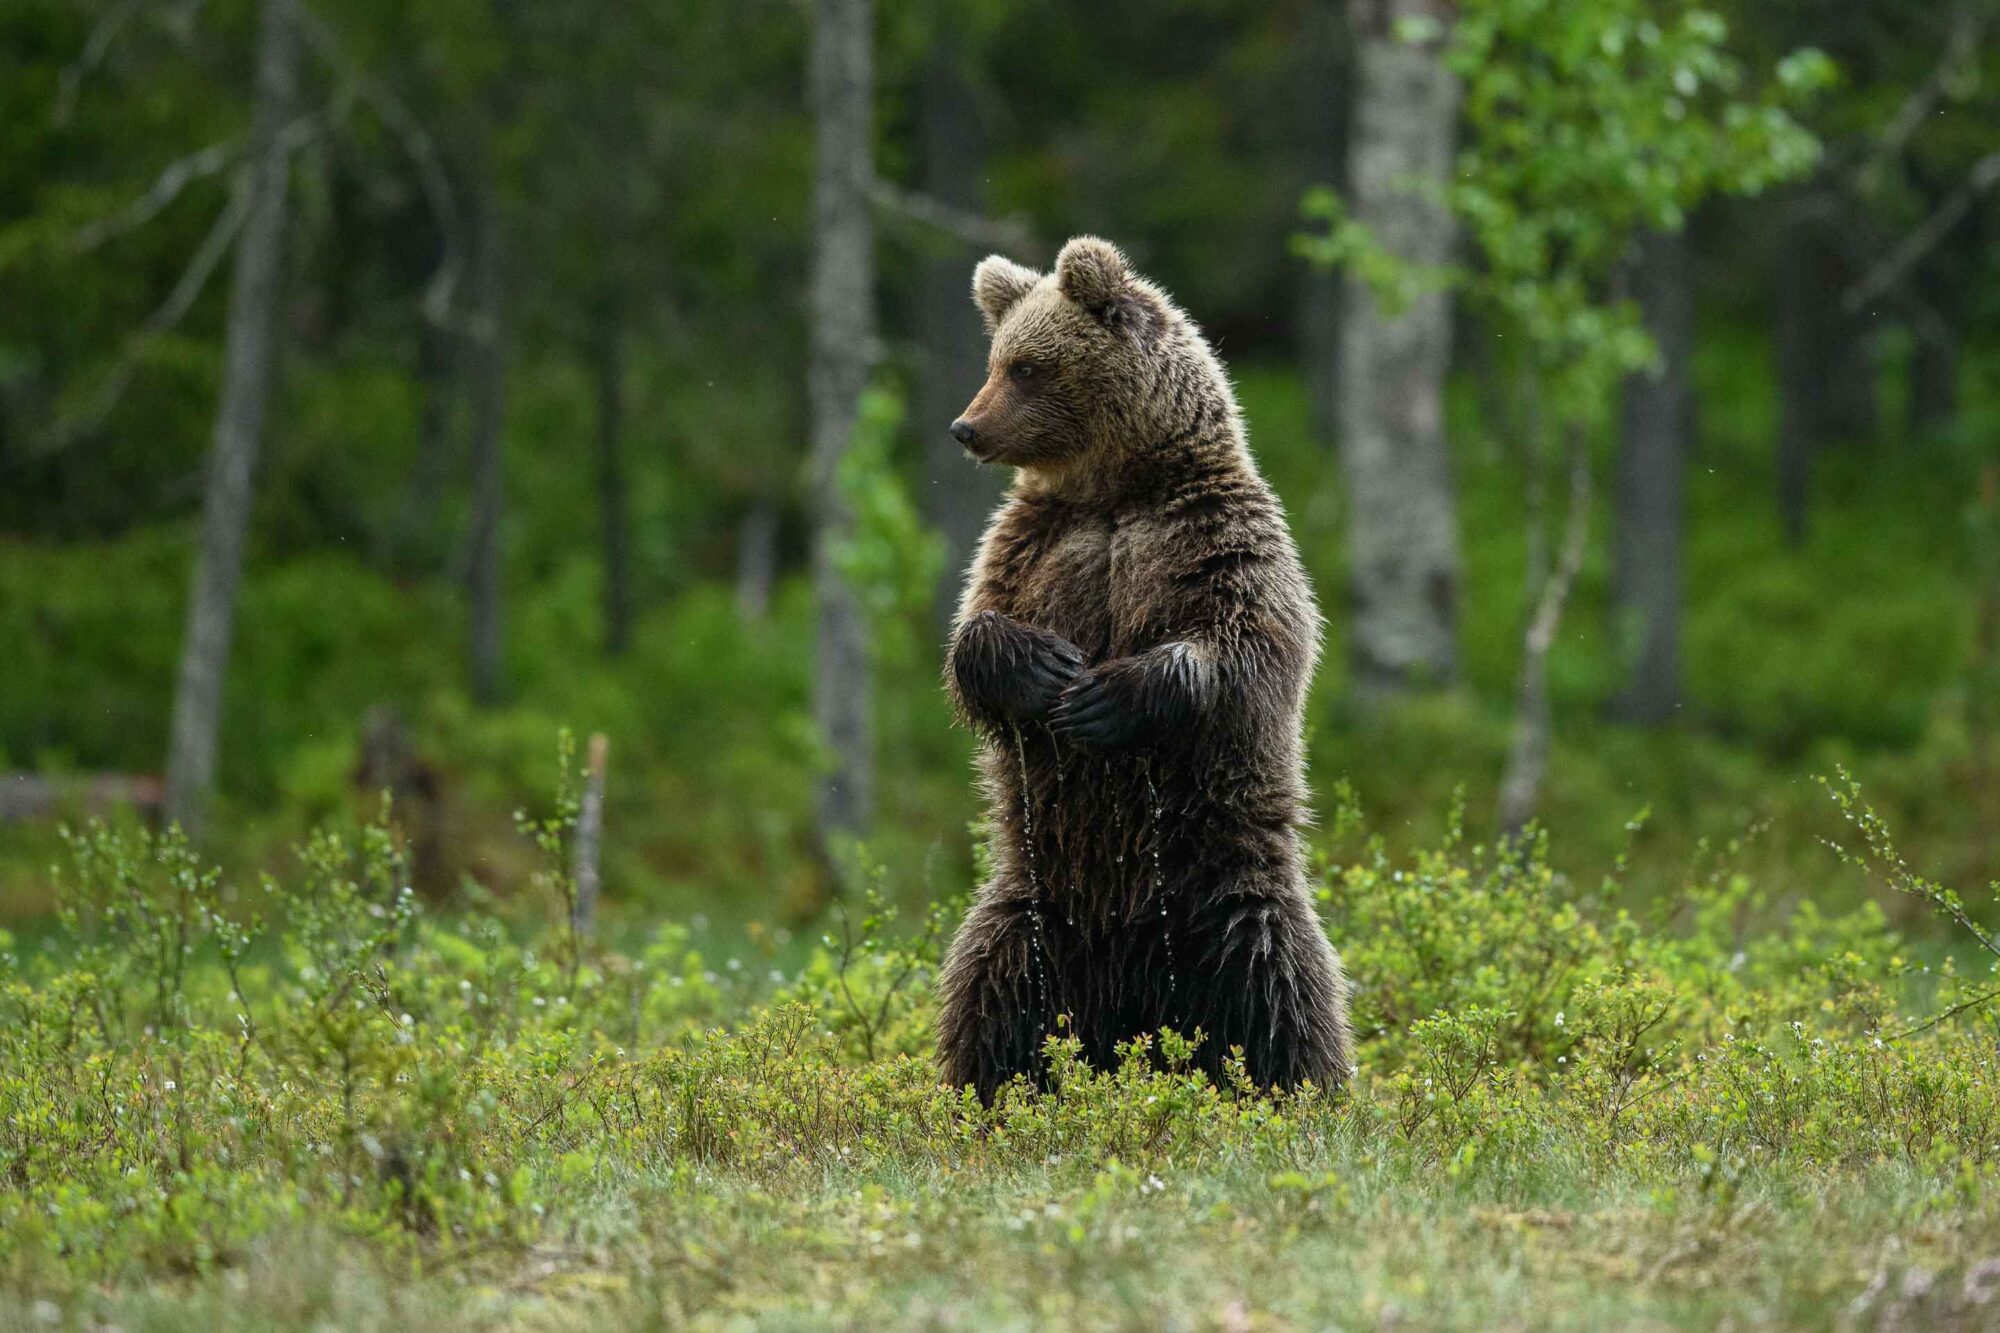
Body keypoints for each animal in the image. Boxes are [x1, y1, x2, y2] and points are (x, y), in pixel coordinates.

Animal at [934, 235, 1352, 1105]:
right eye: (999, 358)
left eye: (1028, 366)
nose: (966, 426)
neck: (1115, 489)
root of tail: (1128, 1019)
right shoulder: (1031, 542)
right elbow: (972, 635)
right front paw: (1042, 666)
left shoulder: (1215, 536)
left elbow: (1248, 649)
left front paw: (1102, 695)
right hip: (1029, 915)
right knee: (988, 1000)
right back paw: (988, 1092)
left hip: (1230, 908)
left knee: (1281, 1000)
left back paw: (1302, 1091)